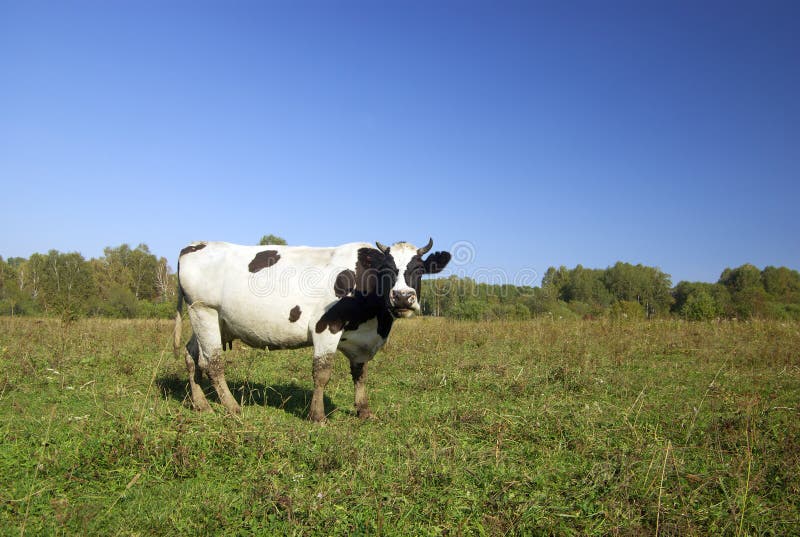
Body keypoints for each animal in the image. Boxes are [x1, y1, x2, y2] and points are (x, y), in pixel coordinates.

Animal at [173, 238, 451, 422]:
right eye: (387, 269)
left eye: (419, 270)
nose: (402, 297)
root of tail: (195, 245)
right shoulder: (325, 327)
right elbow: (322, 374)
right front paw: (317, 416)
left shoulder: (362, 342)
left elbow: (360, 375)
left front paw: (364, 411)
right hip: (204, 311)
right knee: (212, 363)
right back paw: (232, 407)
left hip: (211, 320)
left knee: (191, 356)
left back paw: (201, 405)